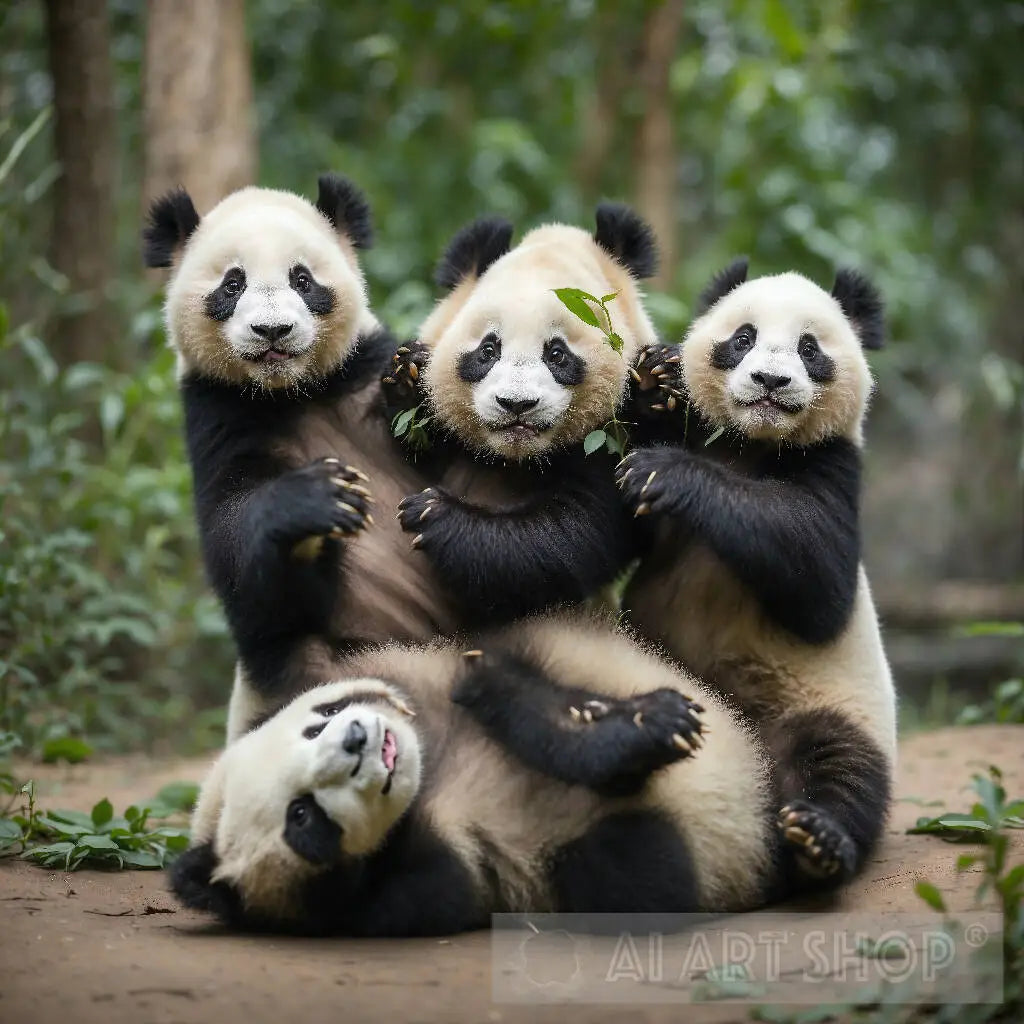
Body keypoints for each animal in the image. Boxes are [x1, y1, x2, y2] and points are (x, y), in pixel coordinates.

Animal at [143, 175, 463, 740]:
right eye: (232, 285)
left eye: (302, 279)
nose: (272, 332)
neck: (290, 391)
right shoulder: (216, 416)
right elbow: (239, 558)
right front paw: (317, 503)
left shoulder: (358, 371)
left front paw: (409, 384)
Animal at [170, 611, 775, 934]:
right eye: (302, 816)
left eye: (315, 725)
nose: (360, 742)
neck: (429, 774)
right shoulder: (401, 892)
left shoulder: (434, 672)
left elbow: (507, 687)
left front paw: (647, 725)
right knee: (627, 867)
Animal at [381, 204, 676, 625]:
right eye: (489, 350)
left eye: (557, 354)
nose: (516, 404)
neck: (516, 458)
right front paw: (409, 377)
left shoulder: (612, 445)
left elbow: (575, 533)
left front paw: (433, 515)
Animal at [616, 260, 896, 894]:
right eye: (742, 339)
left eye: (810, 348)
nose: (770, 381)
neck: (751, 443)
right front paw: (655, 379)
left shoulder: (836, 468)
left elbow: (817, 575)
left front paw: (668, 474)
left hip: (829, 702)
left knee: (843, 765)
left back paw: (817, 840)